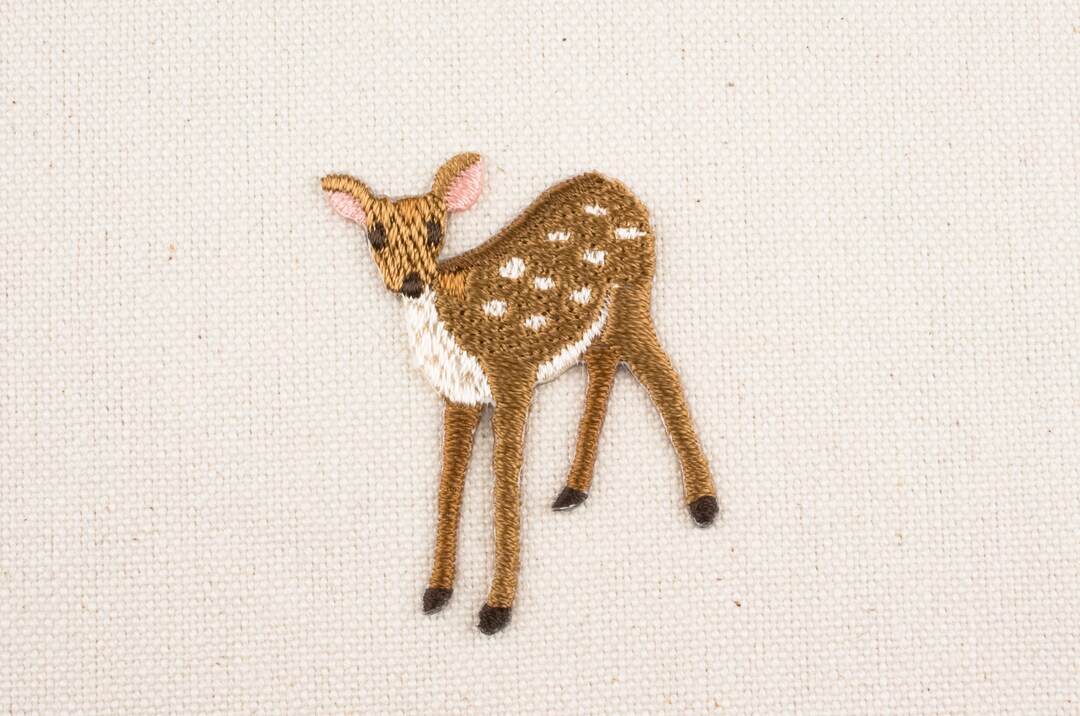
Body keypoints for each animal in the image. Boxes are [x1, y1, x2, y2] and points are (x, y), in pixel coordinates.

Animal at [321, 154, 718, 634]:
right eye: (375, 235)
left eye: (436, 229)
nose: (411, 282)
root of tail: (614, 188)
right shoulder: (460, 394)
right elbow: (448, 484)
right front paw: (436, 592)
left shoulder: (512, 373)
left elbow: (505, 484)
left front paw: (495, 609)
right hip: (598, 323)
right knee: (606, 364)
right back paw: (573, 490)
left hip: (631, 296)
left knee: (663, 375)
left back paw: (704, 504)